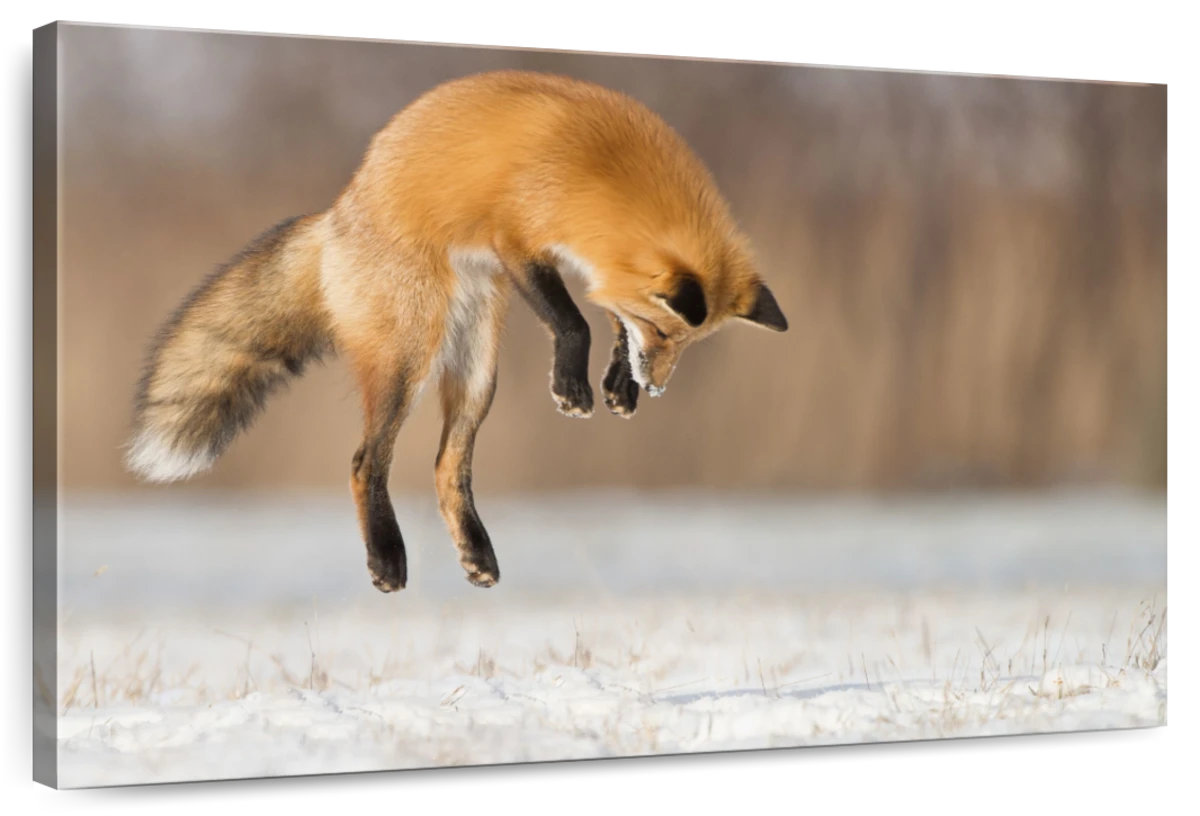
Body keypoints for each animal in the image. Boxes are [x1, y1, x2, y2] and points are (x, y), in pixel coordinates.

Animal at [127, 70, 788, 592]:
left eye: (686, 343)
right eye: (665, 332)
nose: (657, 389)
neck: (604, 170)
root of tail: (337, 214)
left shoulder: (586, 263)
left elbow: (607, 318)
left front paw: (617, 385)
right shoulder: (517, 241)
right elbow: (574, 322)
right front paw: (575, 387)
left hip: (477, 371)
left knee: (448, 467)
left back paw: (477, 554)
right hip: (410, 355)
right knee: (366, 460)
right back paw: (387, 558)